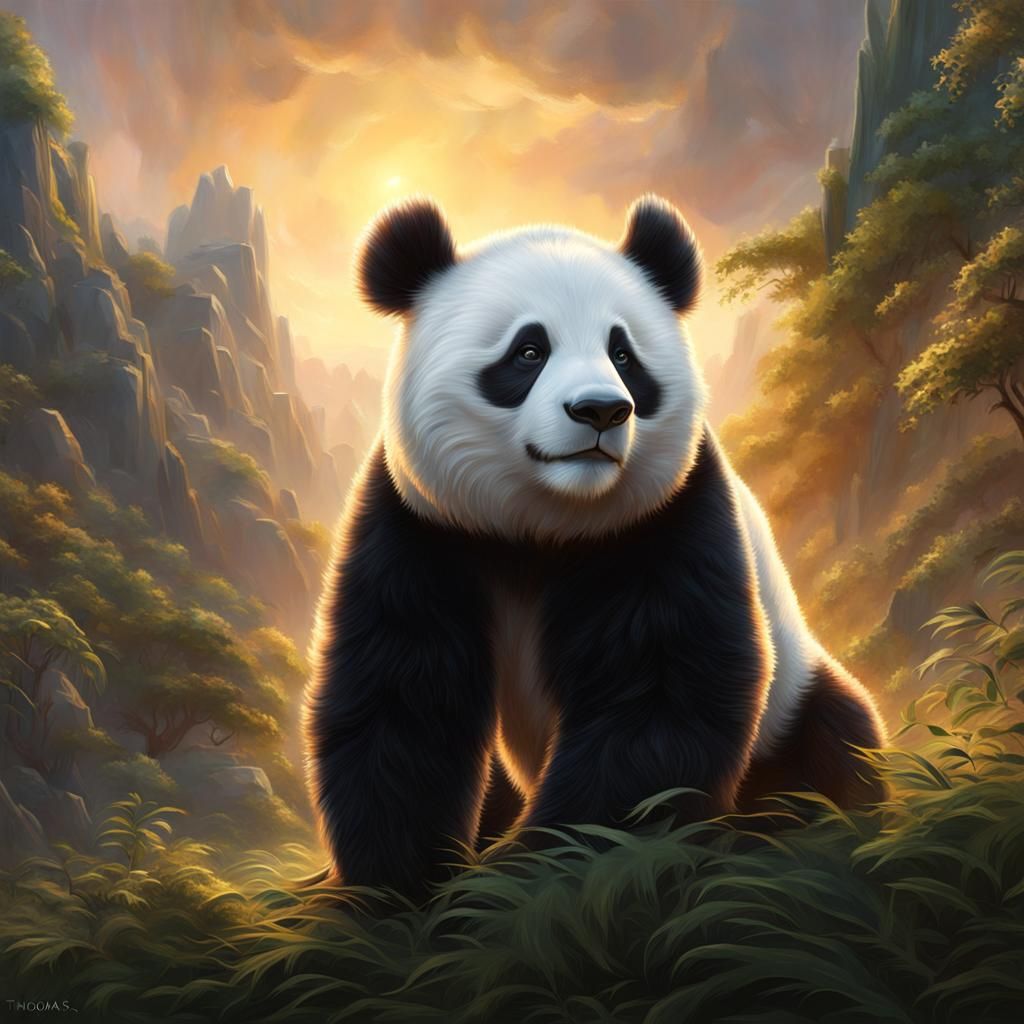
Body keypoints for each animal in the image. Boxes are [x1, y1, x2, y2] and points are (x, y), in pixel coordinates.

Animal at [304, 195, 885, 900]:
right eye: (529, 350)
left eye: (624, 353)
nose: (602, 411)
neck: (540, 528)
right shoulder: (420, 522)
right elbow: (402, 694)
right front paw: (396, 881)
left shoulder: (665, 517)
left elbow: (654, 704)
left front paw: (520, 870)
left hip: (794, 701)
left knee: (832, 749)